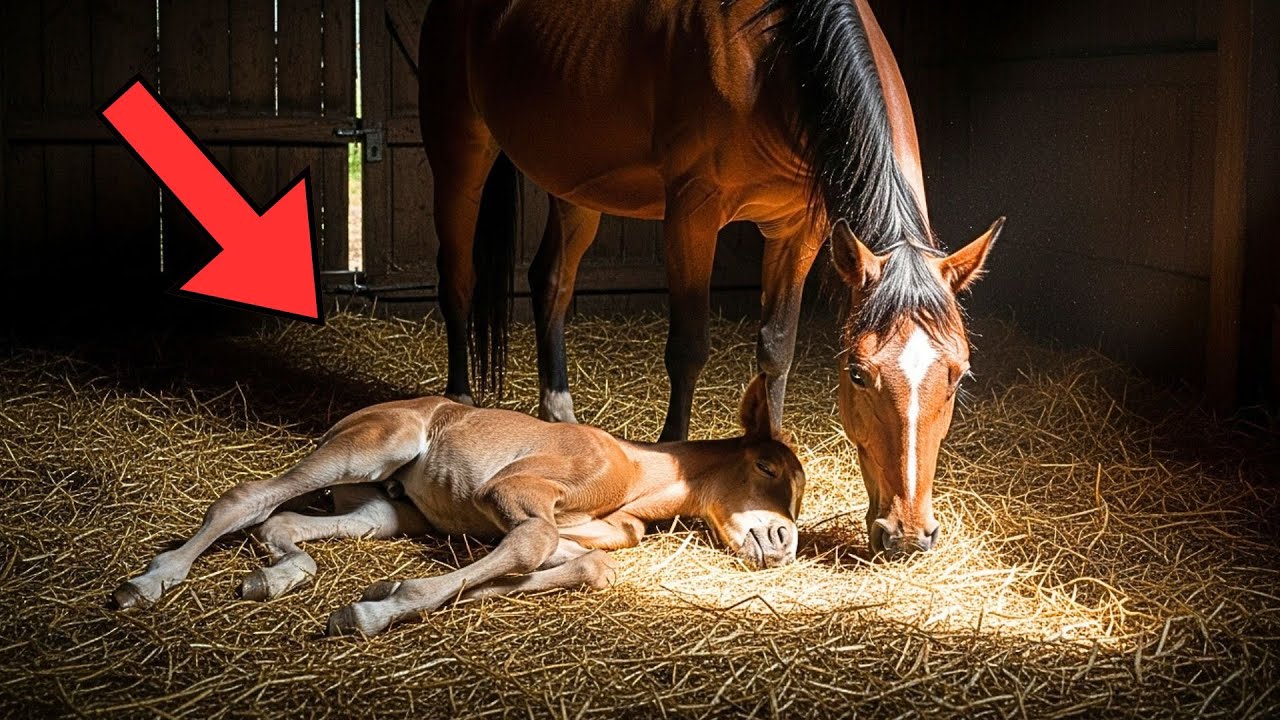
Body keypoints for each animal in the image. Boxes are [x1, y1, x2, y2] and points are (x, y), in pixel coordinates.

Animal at [112, 375, 805, 637]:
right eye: (767, 467)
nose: (785, 543)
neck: (635, 473)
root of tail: (354, 416)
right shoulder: (515, 492)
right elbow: (531, 546)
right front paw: (373, 611)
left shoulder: (585, 537)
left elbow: (579, 565)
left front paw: (381, 592)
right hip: (371, 448)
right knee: (248, 499)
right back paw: (146, 583)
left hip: (386, 512)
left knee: (282, 522)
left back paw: (275, 577)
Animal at [418, 0, 1003, 557]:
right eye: (858, 374)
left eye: (959, 376)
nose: (907, 533)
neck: (781, 58)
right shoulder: (692, 212)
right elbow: (688, 348)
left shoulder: (800, 230)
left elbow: (777, 349)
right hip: (459, 152)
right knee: (459, 279)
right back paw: (460, 398)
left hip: (576, 186)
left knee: (552, 283)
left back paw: (559, 413)